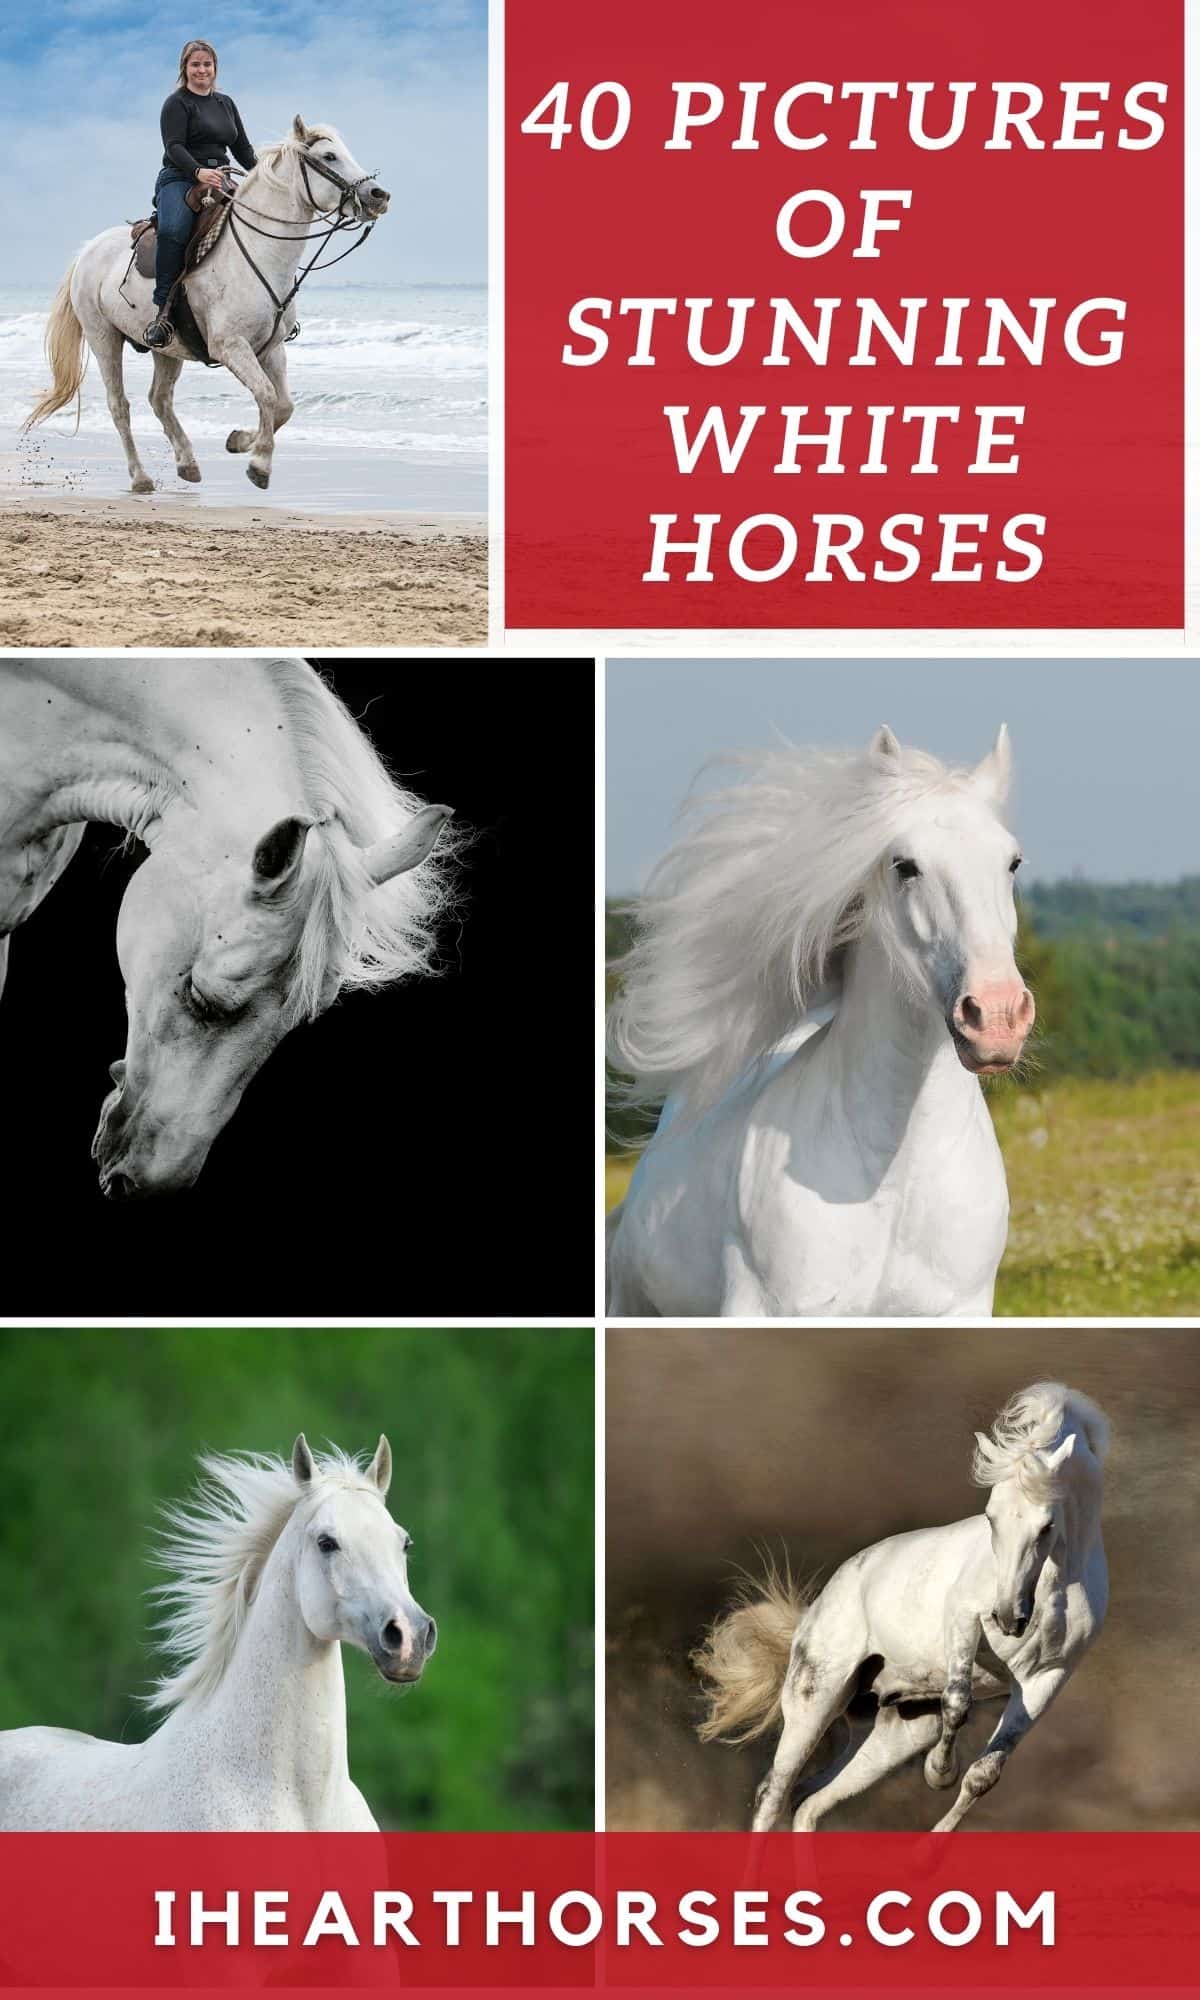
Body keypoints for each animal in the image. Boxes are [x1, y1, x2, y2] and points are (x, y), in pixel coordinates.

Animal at [26, 118, 388, 493]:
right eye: (329, 156)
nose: (378, 195)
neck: (260, 253)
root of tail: (87, 250)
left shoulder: (272, 348)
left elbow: (284, 405)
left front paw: (239, 441)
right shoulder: (230, 346)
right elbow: (267, 396)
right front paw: (259, 464)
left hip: (167, 348)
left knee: (160, 399)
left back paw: (187, 463)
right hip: (103, 337)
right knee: (119, 405)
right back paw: (141, 477)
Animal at [693, 1382, 1110, 1833]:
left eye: (1046, 1525)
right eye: (990, 1516)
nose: (1007, 1618)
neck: (1053, 1588)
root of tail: (814, 1611)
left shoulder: (1045, 1679)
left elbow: (984, 1774)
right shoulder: (963, 1620)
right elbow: (958, 1702)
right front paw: (939, 1773)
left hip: (896, 1732)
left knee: (809, 1799)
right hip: (816, 1697)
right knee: (774, 1792)